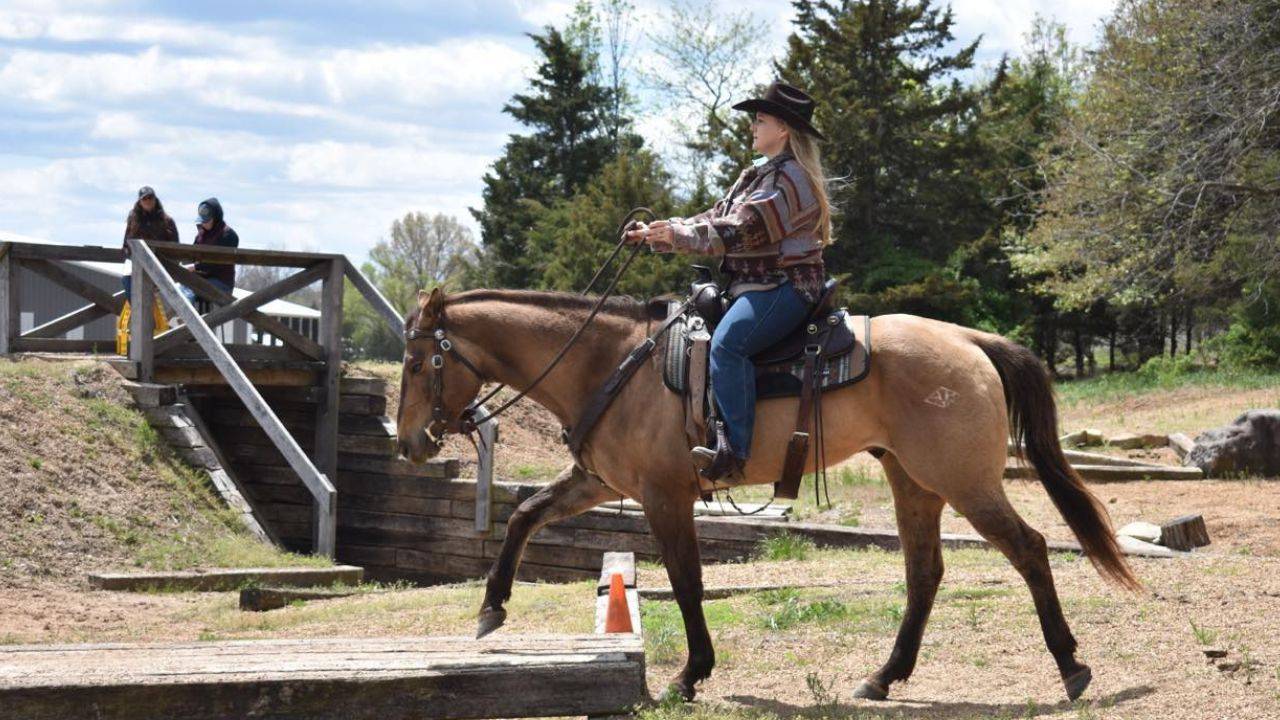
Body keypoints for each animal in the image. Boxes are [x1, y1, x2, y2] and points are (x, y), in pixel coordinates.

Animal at [396, 286, 1139, 703]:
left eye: (416, 361)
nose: (407, 442)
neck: (608, 362)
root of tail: (966, 338)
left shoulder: (664, 495)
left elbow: (687, 582)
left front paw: (690, 674)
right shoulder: (598, 481)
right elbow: (525, 513)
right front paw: (491, 609)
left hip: (964, 481)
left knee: (1030, 549)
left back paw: (1072, 666)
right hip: (915, 481)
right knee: (925, 572)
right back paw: (883, 676)